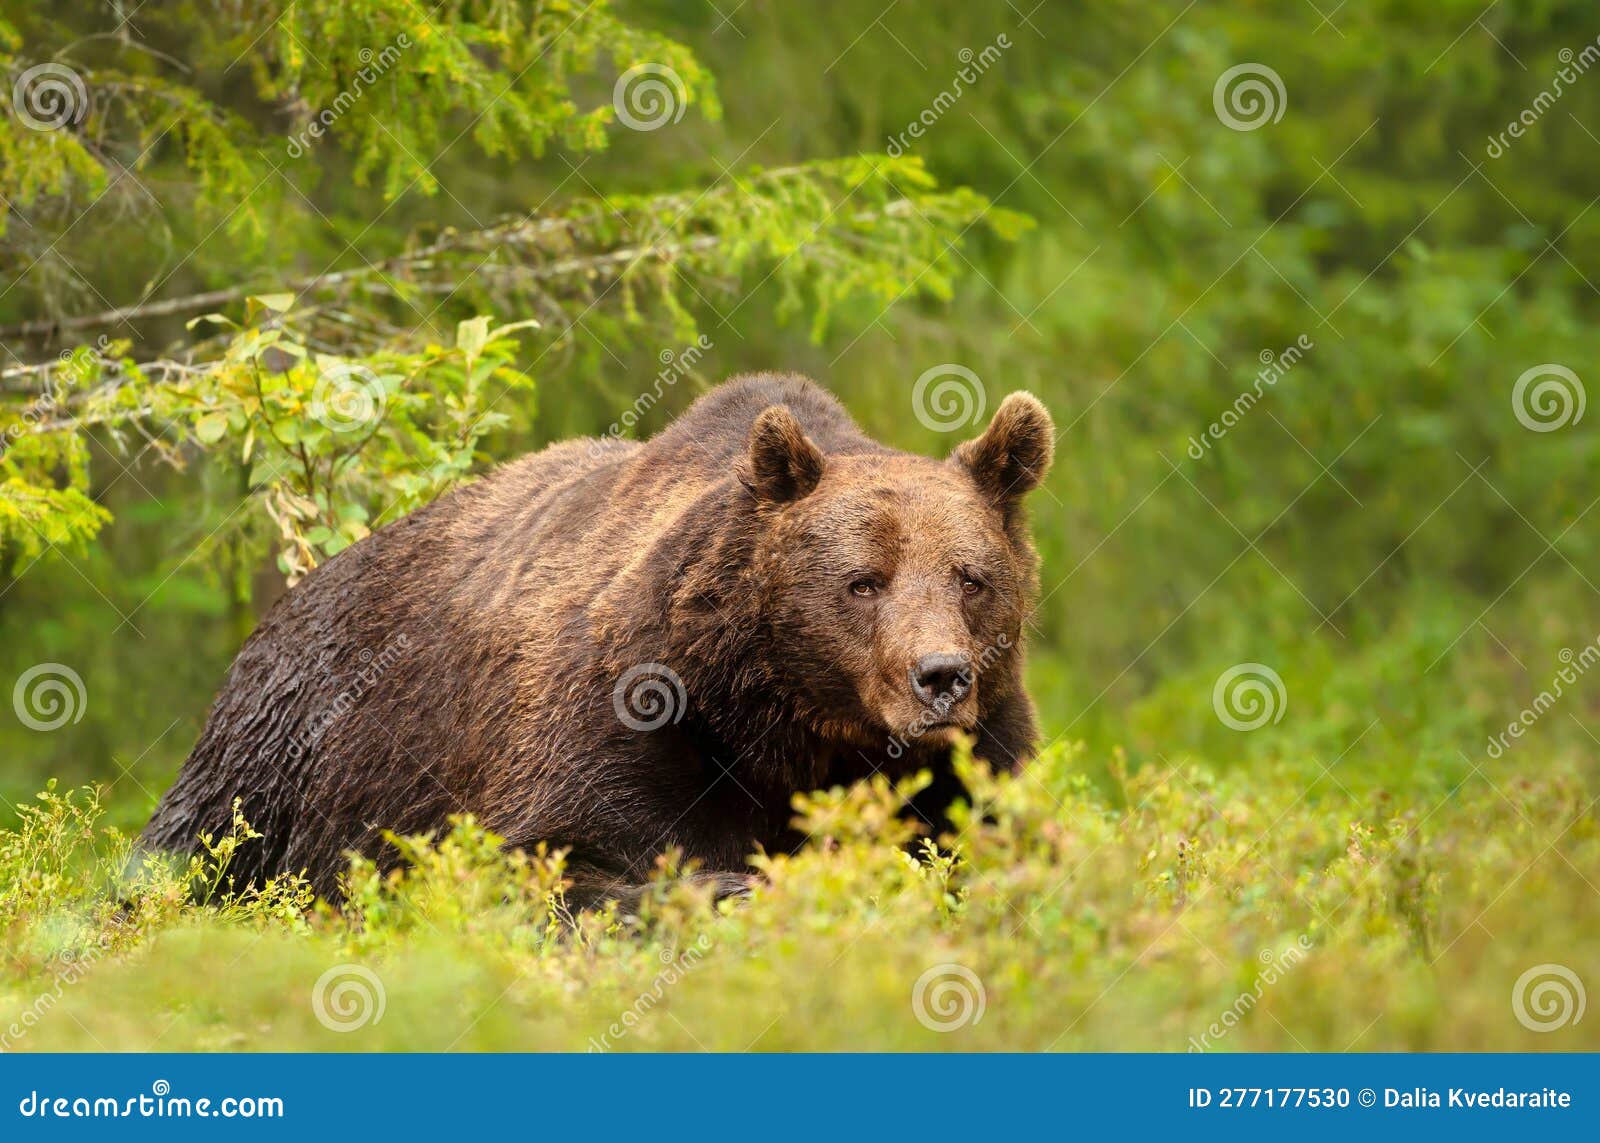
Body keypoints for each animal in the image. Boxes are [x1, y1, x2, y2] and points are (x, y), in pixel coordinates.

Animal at [142, 373, 1055, 907]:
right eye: (864, 580)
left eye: (970, 576)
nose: (940, 676)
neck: (789, 726)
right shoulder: (628, 719)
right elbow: (551, 855)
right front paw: (728, 884)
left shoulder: (980, 751)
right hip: (294, 744)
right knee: (197, 848)